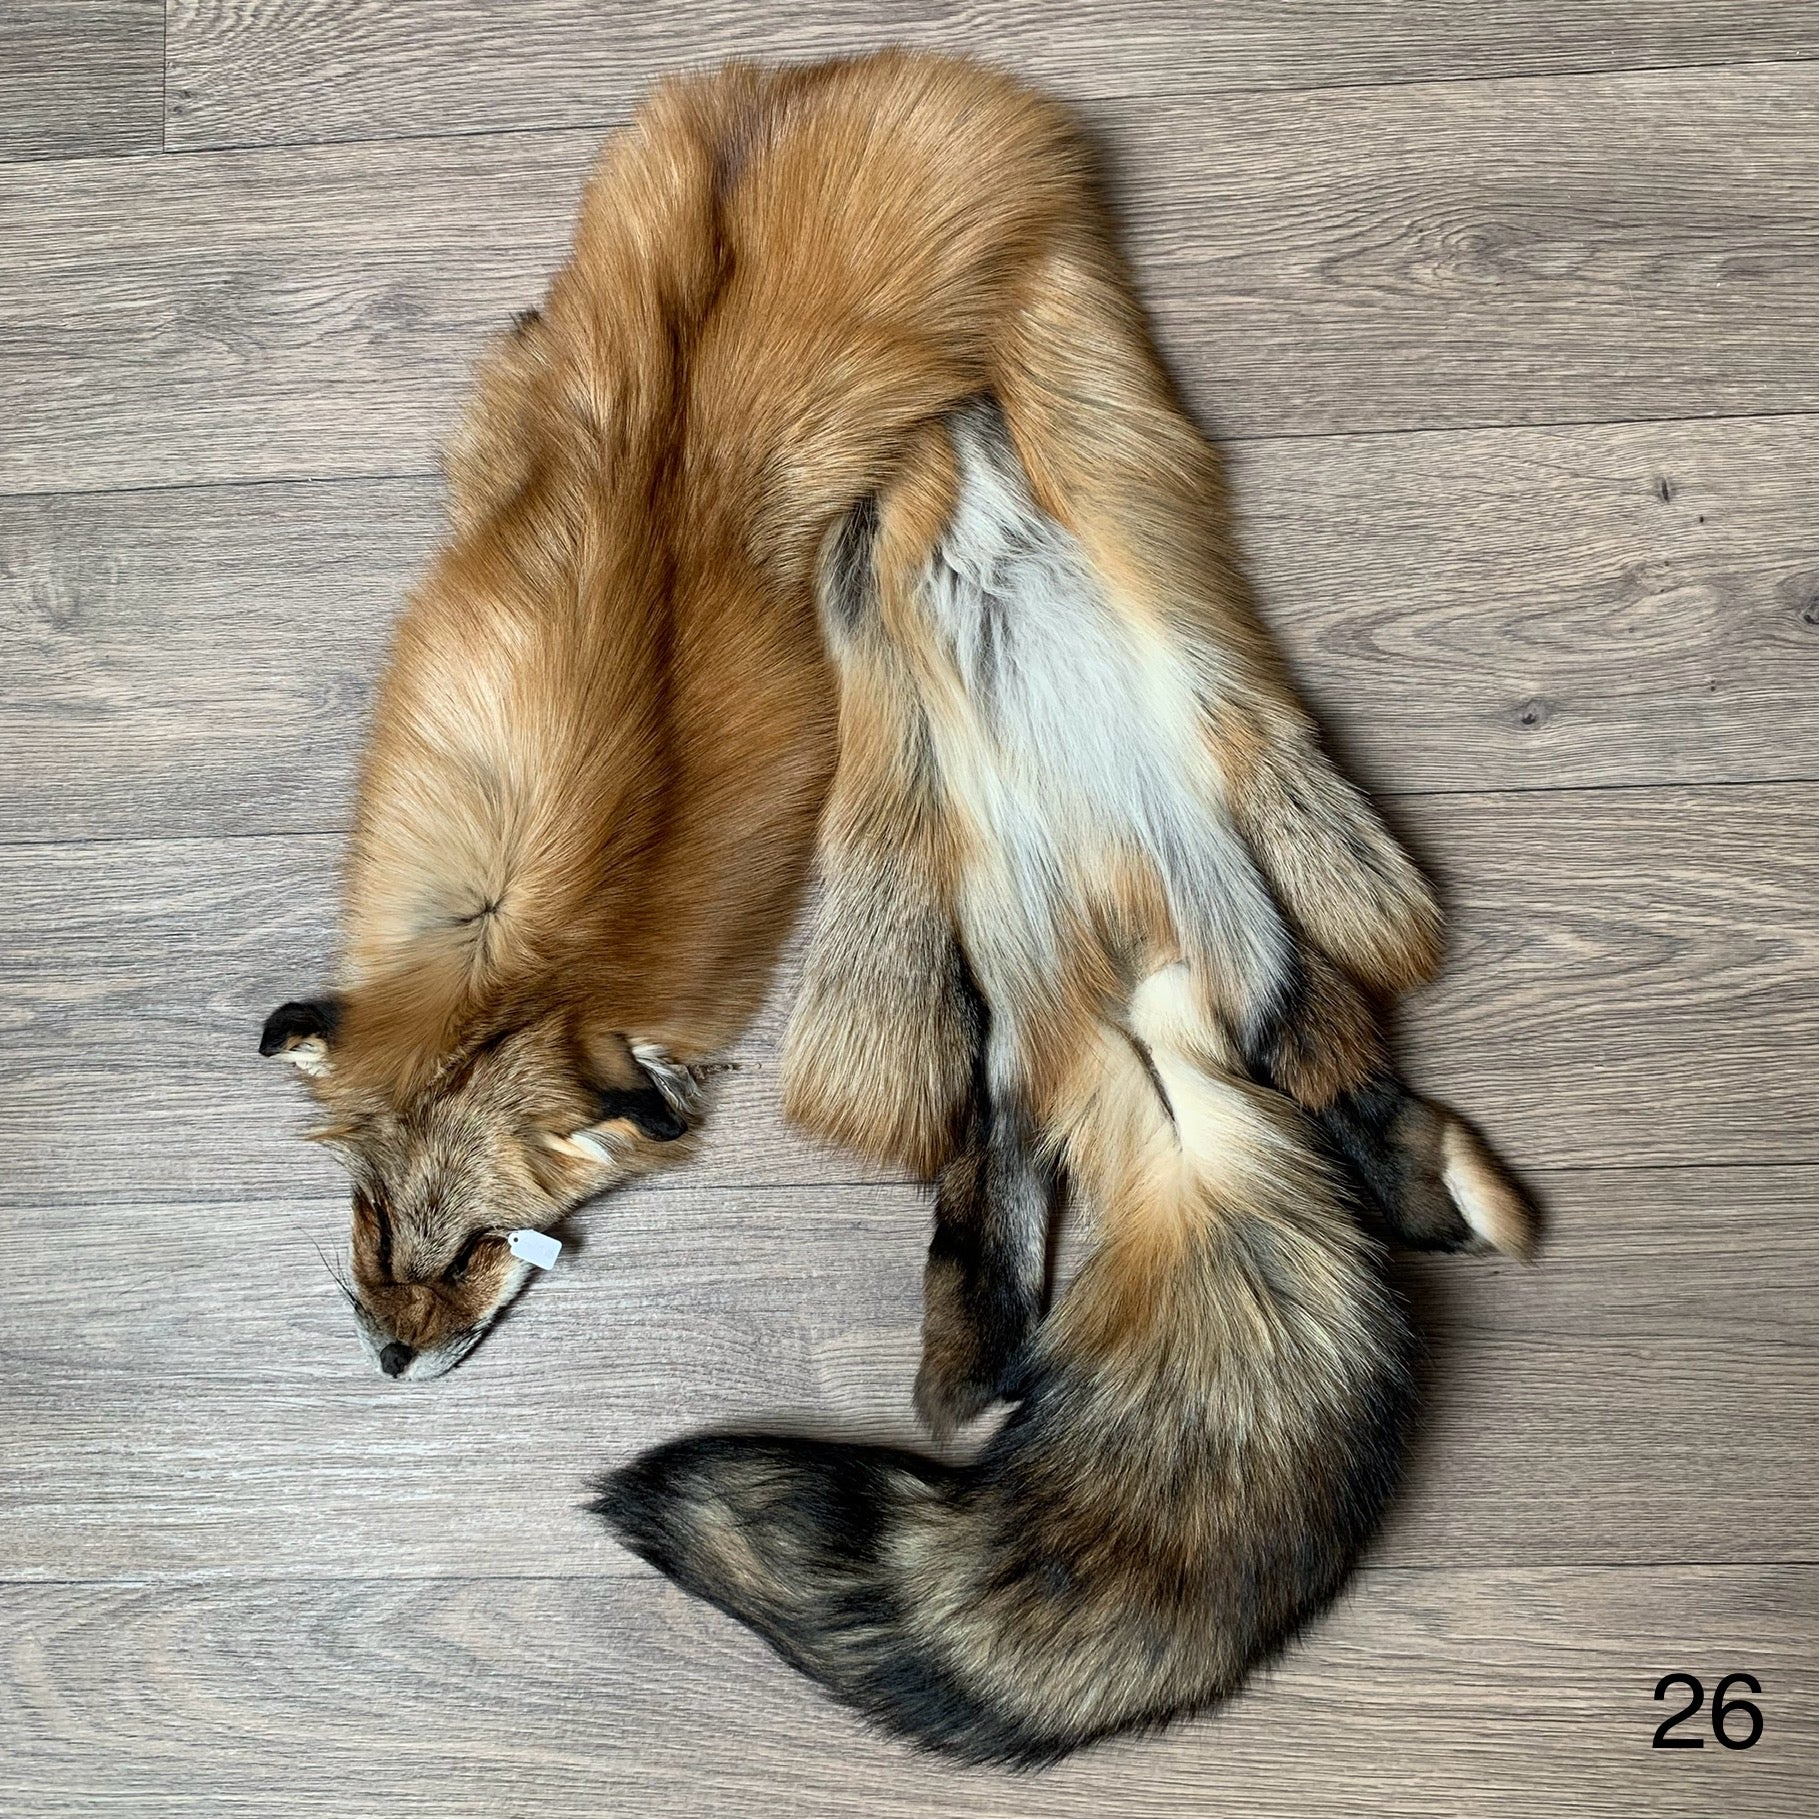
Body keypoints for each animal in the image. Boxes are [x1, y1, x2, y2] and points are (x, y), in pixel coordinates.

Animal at [261, 52, 1535, 1758]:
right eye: (370, 1217)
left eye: (478, 1243)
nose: (394, 1357)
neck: (525, 948)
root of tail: (815, 82)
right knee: (1126, 1108)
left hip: (1099, 568)